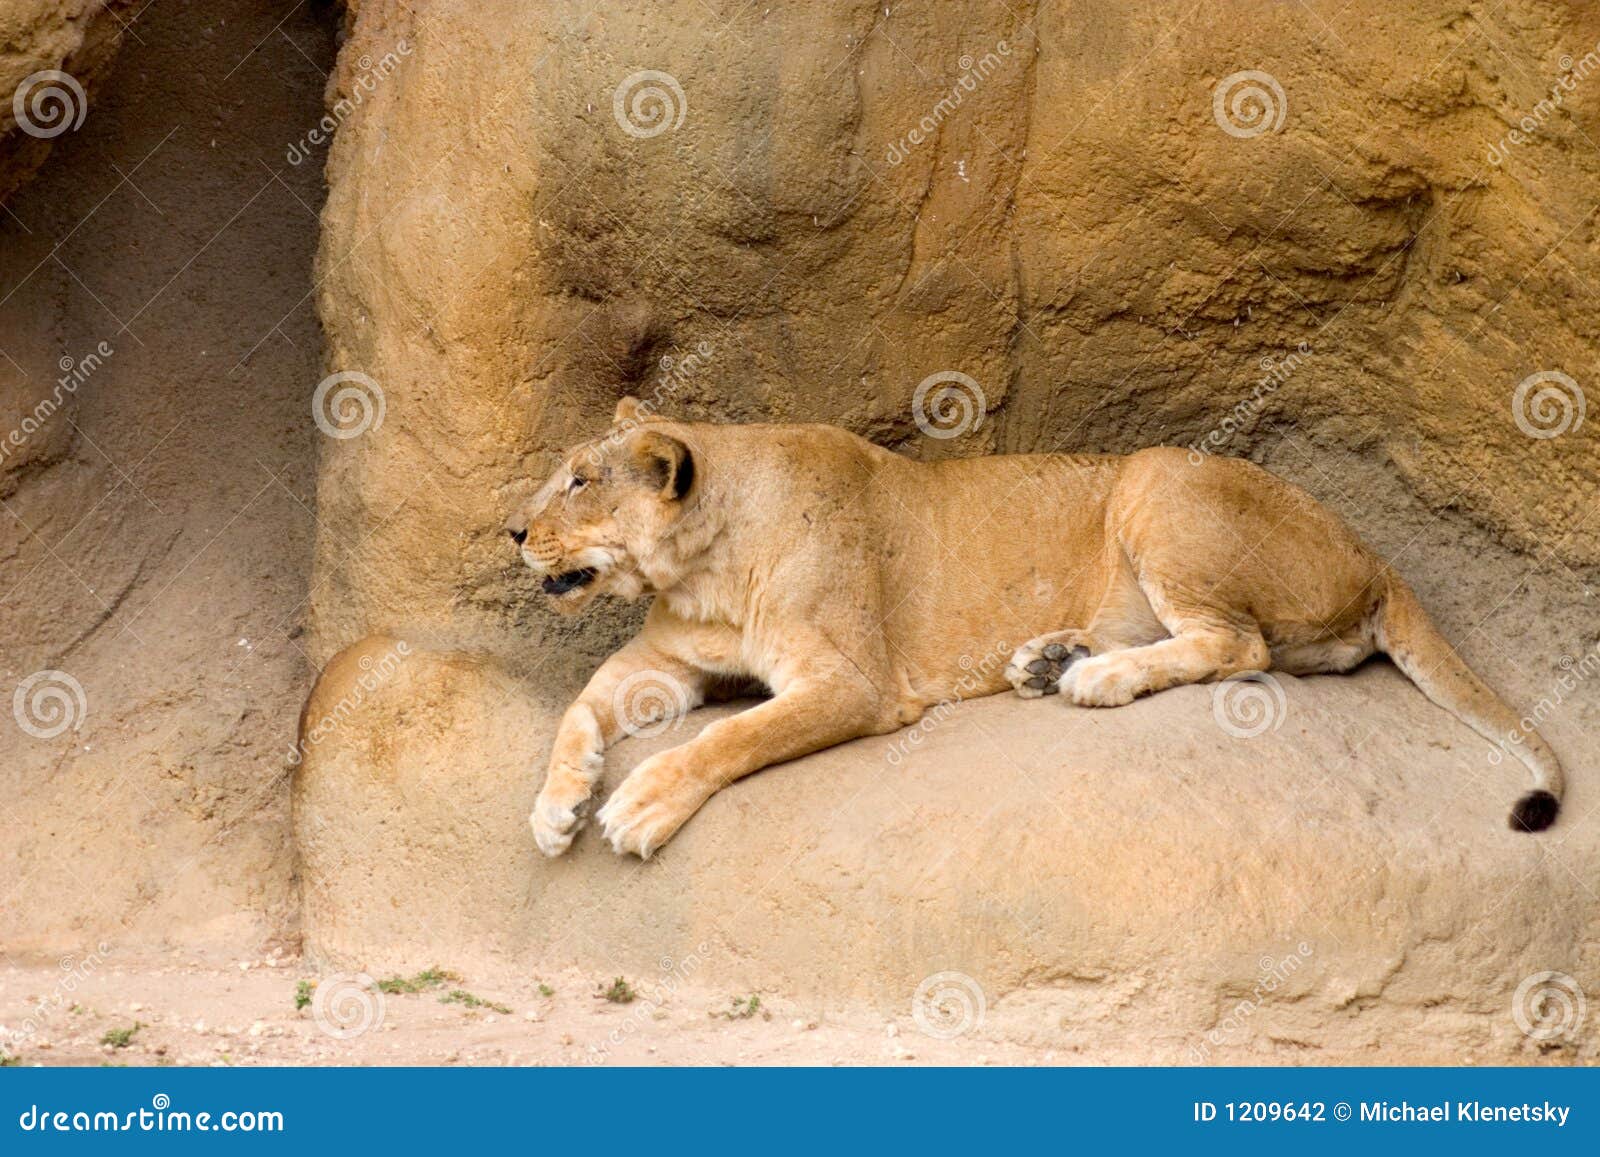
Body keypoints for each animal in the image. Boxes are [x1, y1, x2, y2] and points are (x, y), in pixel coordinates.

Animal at [504, 398, 1564, 859]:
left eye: (580, 480)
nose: (512, 530)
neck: (706, 573)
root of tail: (1375, 552)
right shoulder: (661, 659)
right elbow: (577, 710)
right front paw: (556, 806)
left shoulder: (853, 682)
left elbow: (735, 735)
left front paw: (639, 805)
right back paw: (1051, 658)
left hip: (1156, 475)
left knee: (1242, 645)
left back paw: (1091, 678)